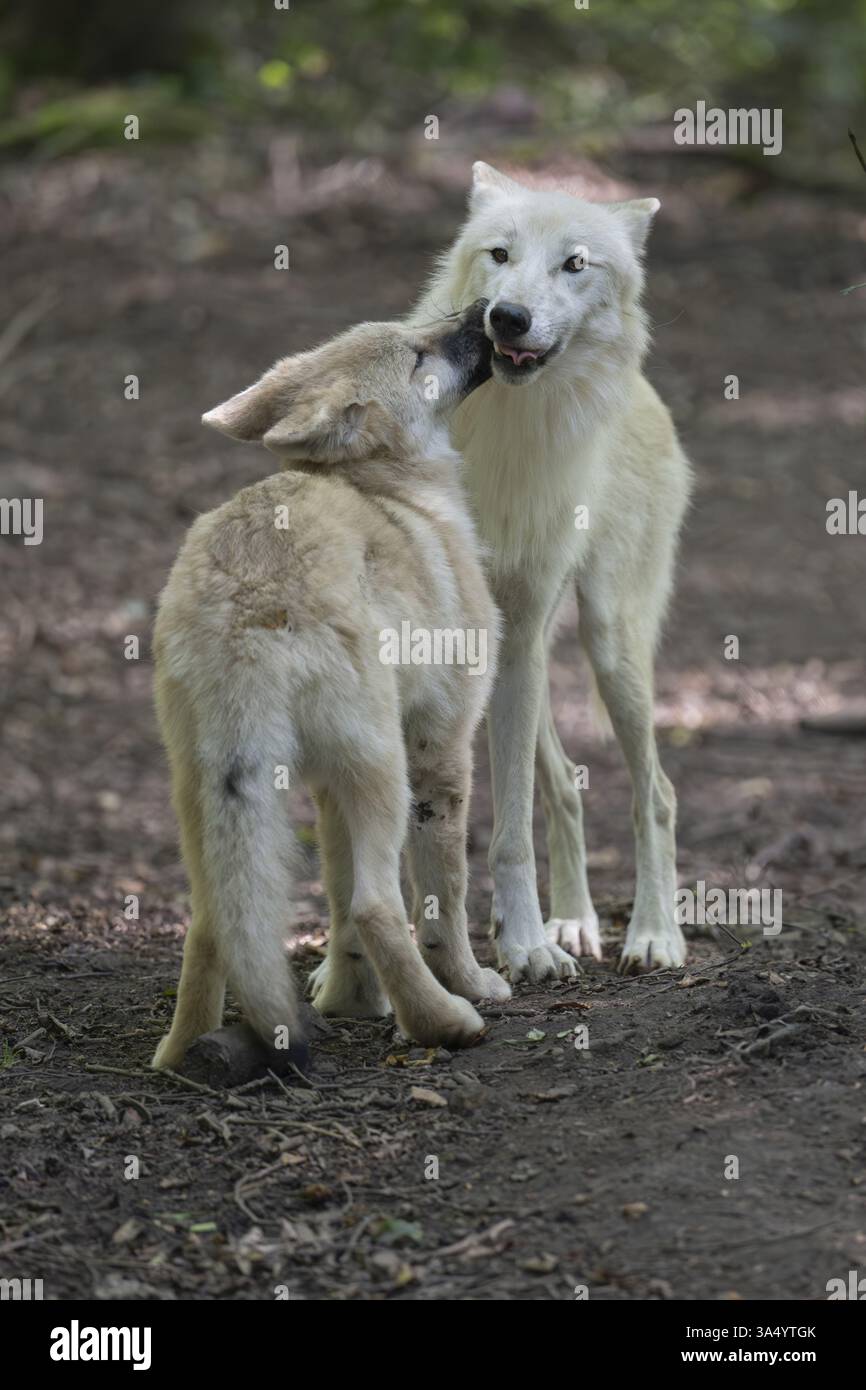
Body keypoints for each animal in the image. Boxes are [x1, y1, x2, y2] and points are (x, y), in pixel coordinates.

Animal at [151, 303, 510, 1071]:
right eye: (417, 354)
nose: (486, 311)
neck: (397, 494)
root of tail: (243, 610)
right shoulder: (441, 753)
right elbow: (441, 901)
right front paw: (469, 983)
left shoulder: (323, 786)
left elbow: (339, 911)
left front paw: (349, 1000)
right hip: (383, 771)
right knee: (380, 904)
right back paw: (446, 1022)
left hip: (209, 795)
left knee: (213, 921)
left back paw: (182, 1054)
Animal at [411, 163, 693, 980]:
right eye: (500, 254)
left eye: (574, 264)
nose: (508, 318)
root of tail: (647, 394)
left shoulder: (524, 633)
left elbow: (508, 831)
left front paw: (527, 949)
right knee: (566, 788)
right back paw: (574, 922)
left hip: (608, 645)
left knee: (656, 792)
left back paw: (652, 936)